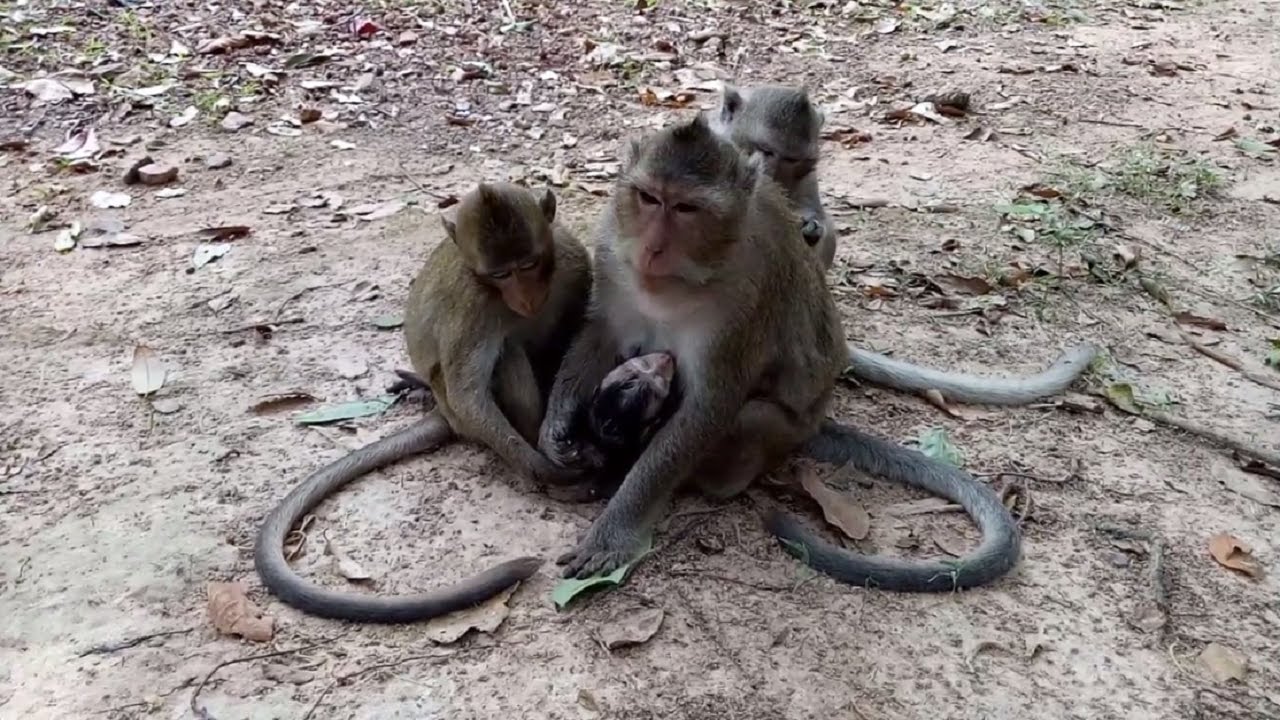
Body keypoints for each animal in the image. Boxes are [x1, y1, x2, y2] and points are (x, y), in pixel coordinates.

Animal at [253, 182, 593, 623]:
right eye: (500, 275)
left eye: (529, 263)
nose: (525, 297)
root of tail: (440, 412)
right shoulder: (474, 301)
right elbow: (468, 392)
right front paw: (547, 467)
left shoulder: (573, 257)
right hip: (454, 404)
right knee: (503, 360)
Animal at [535, 115, 1022, 590]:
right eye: (649, 198)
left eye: (687, 209)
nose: (653, 248)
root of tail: (816, 421)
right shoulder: (610, 246)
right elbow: (602, 333)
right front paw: (556, 429)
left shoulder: (746, 295)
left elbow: (710, 407)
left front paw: (615, 529)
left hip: (784, 429)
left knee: (748, 418)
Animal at [707, 84, 1100, 405]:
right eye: (766, 152)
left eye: (798, 163)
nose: (777, 180)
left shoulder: (806, 180)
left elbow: (819, 231)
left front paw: (809, 228)